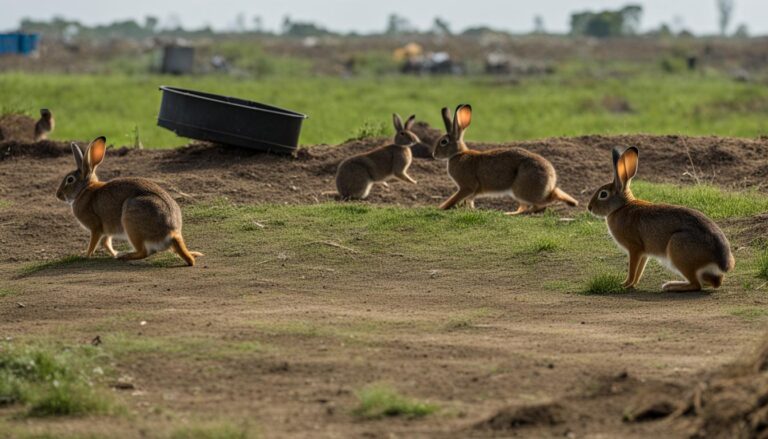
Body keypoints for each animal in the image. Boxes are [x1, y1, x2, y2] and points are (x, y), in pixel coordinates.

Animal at [56, 136, 202, 266]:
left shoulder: (96, 227)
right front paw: (114, 253)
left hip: (131, 221)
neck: (84, 190)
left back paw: (125, 256)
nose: (58, 195)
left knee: (144, 252)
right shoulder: (107, 231)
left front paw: (86, 255)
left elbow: (94, 243)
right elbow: (106, 243)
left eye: (70, 180)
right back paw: (195, 254)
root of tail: (171, 233)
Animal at [433, 104, 578, 213]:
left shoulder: (466, 186)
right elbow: (470, 201)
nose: (434, 154)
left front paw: (442, 207)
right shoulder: (471, 192)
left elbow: (455, 198)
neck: (458, 154)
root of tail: (551, 178)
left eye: (443, 142)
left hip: (521, 189)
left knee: (540, 204)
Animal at [588, 146, 734, 292]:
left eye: (603, 194)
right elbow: (639, 271)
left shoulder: (634, 248)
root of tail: (722, 262)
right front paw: (632, 285)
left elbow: (632, 270)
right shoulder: (643, 253)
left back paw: (670, 286)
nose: (589, 207)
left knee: (696, 284)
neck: (621, 207)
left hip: (678, 248)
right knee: (712, 282)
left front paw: (624, 284)